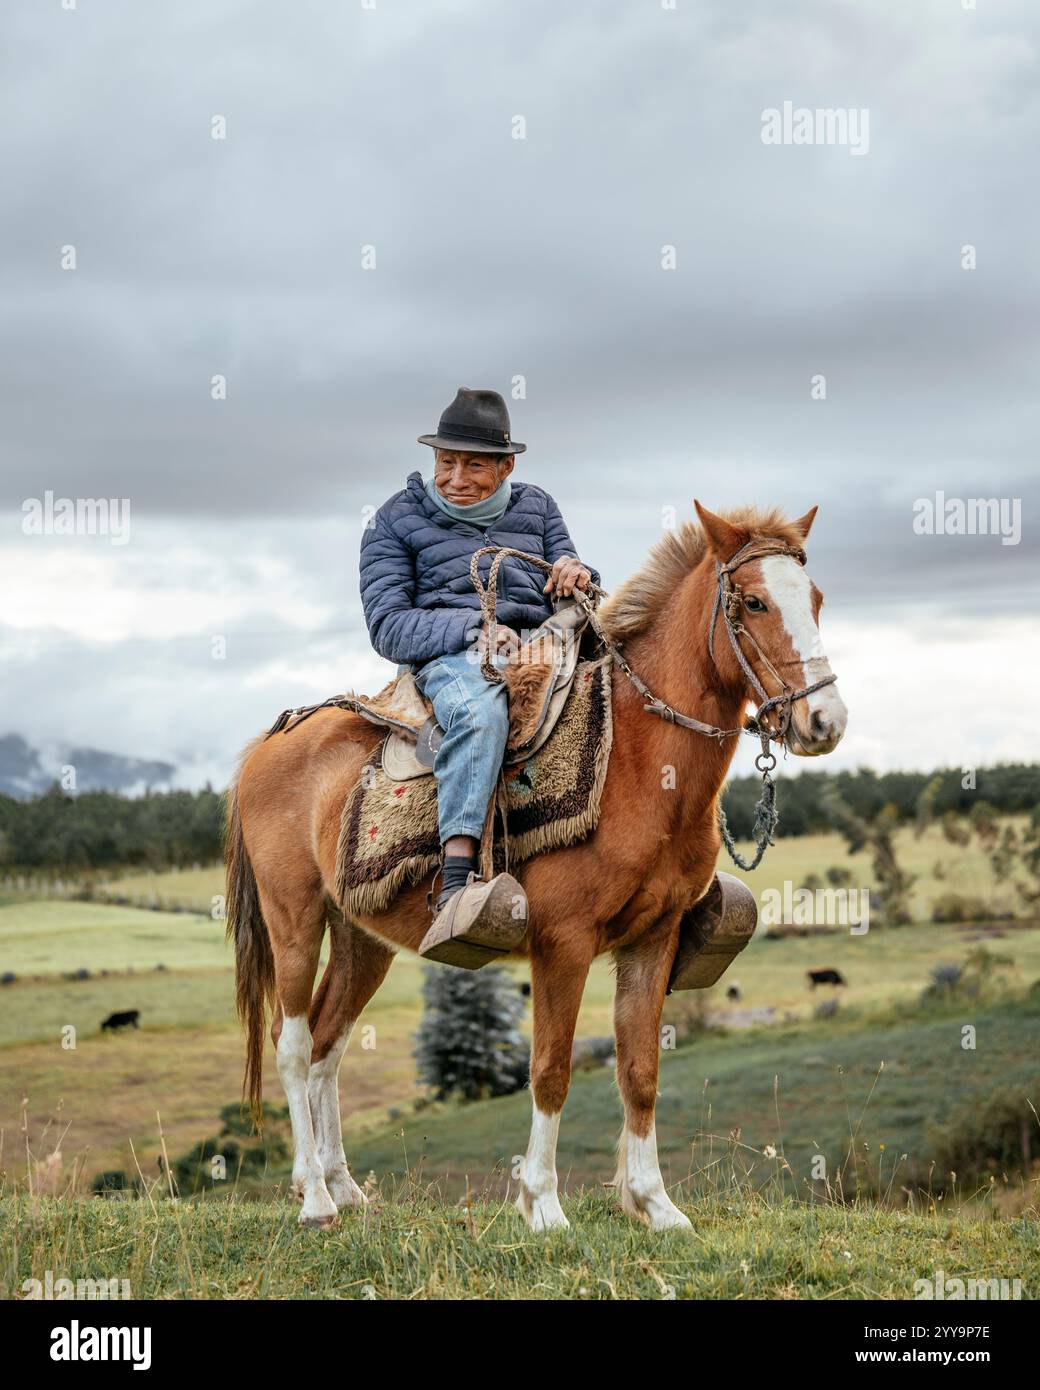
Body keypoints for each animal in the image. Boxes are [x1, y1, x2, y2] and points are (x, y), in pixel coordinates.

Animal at [225, 501, 847, 1230]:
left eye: (815, 598)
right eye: (752, 602)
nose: (825, 720)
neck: (636, 759)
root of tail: (271, 742)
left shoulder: (654, 939)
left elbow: (640, 1071)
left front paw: (655, 1204)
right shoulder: (563, 943)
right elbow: (551, 1069)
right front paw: (544, 1206)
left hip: (360, 937)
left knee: (328, 1044)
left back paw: (343, 1186)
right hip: (292, 917)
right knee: (293, 1043)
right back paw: (315, 1197)